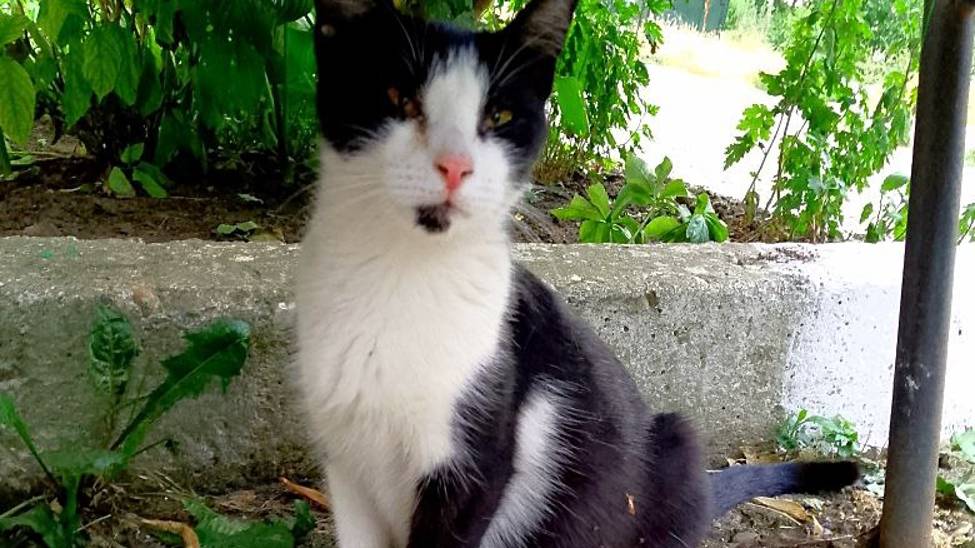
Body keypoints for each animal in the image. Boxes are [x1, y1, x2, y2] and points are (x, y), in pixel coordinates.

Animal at [294, 0, 859, 546]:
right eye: (398, 98)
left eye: (499, 115)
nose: (455, 166)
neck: (402, 272)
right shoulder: (346, 468)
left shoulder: (481, 462)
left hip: (669, 455)